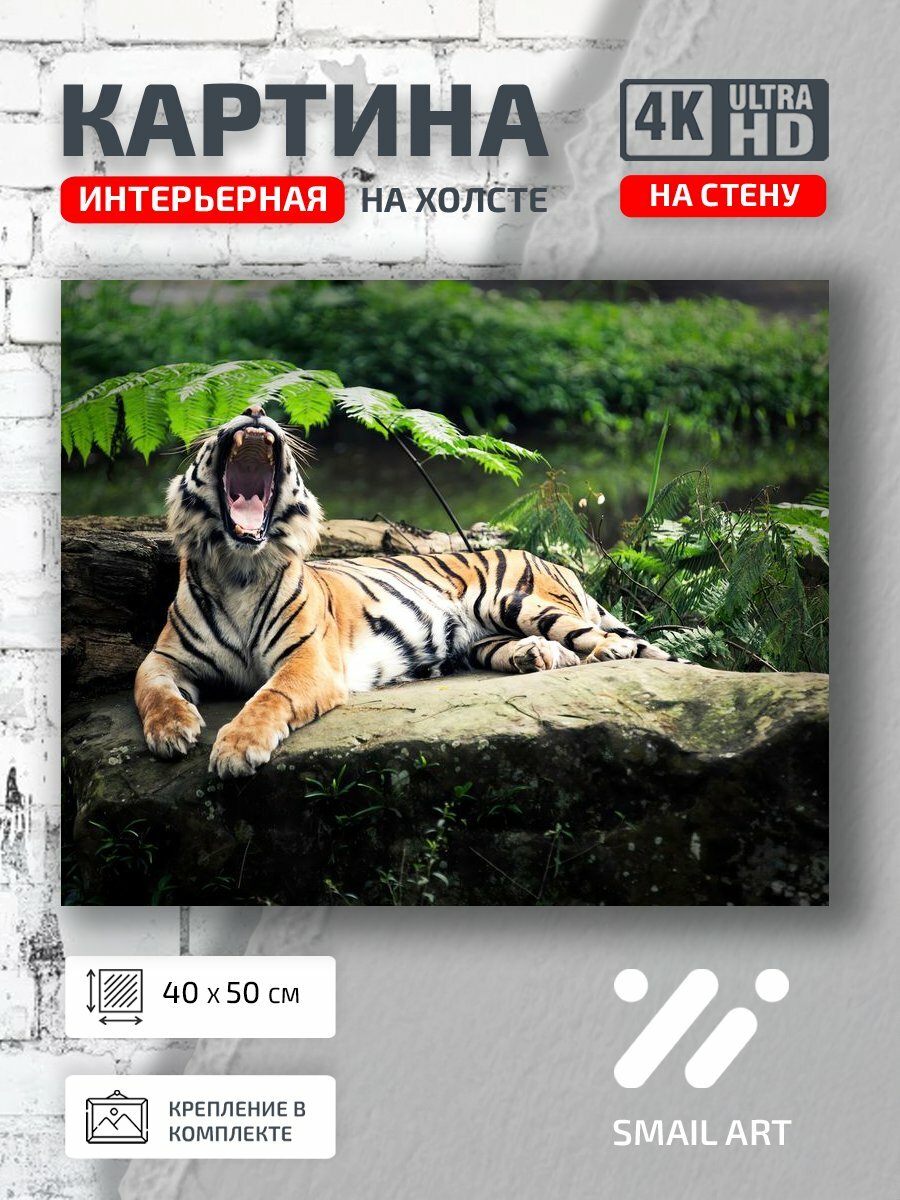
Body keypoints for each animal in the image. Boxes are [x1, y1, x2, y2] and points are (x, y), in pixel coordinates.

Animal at [135, 406, 682, 778]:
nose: (254, 410)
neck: (240, 567)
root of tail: (550, 560)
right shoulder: (166, 657)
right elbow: (150, 689)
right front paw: (173, 730)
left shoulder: (307, 660)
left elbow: (269, 697)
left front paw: (234, 749)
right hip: (485, 638)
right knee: (552, 649)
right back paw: (537, 657)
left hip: (512, 599)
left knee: (604, 638)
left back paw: (606, 650)